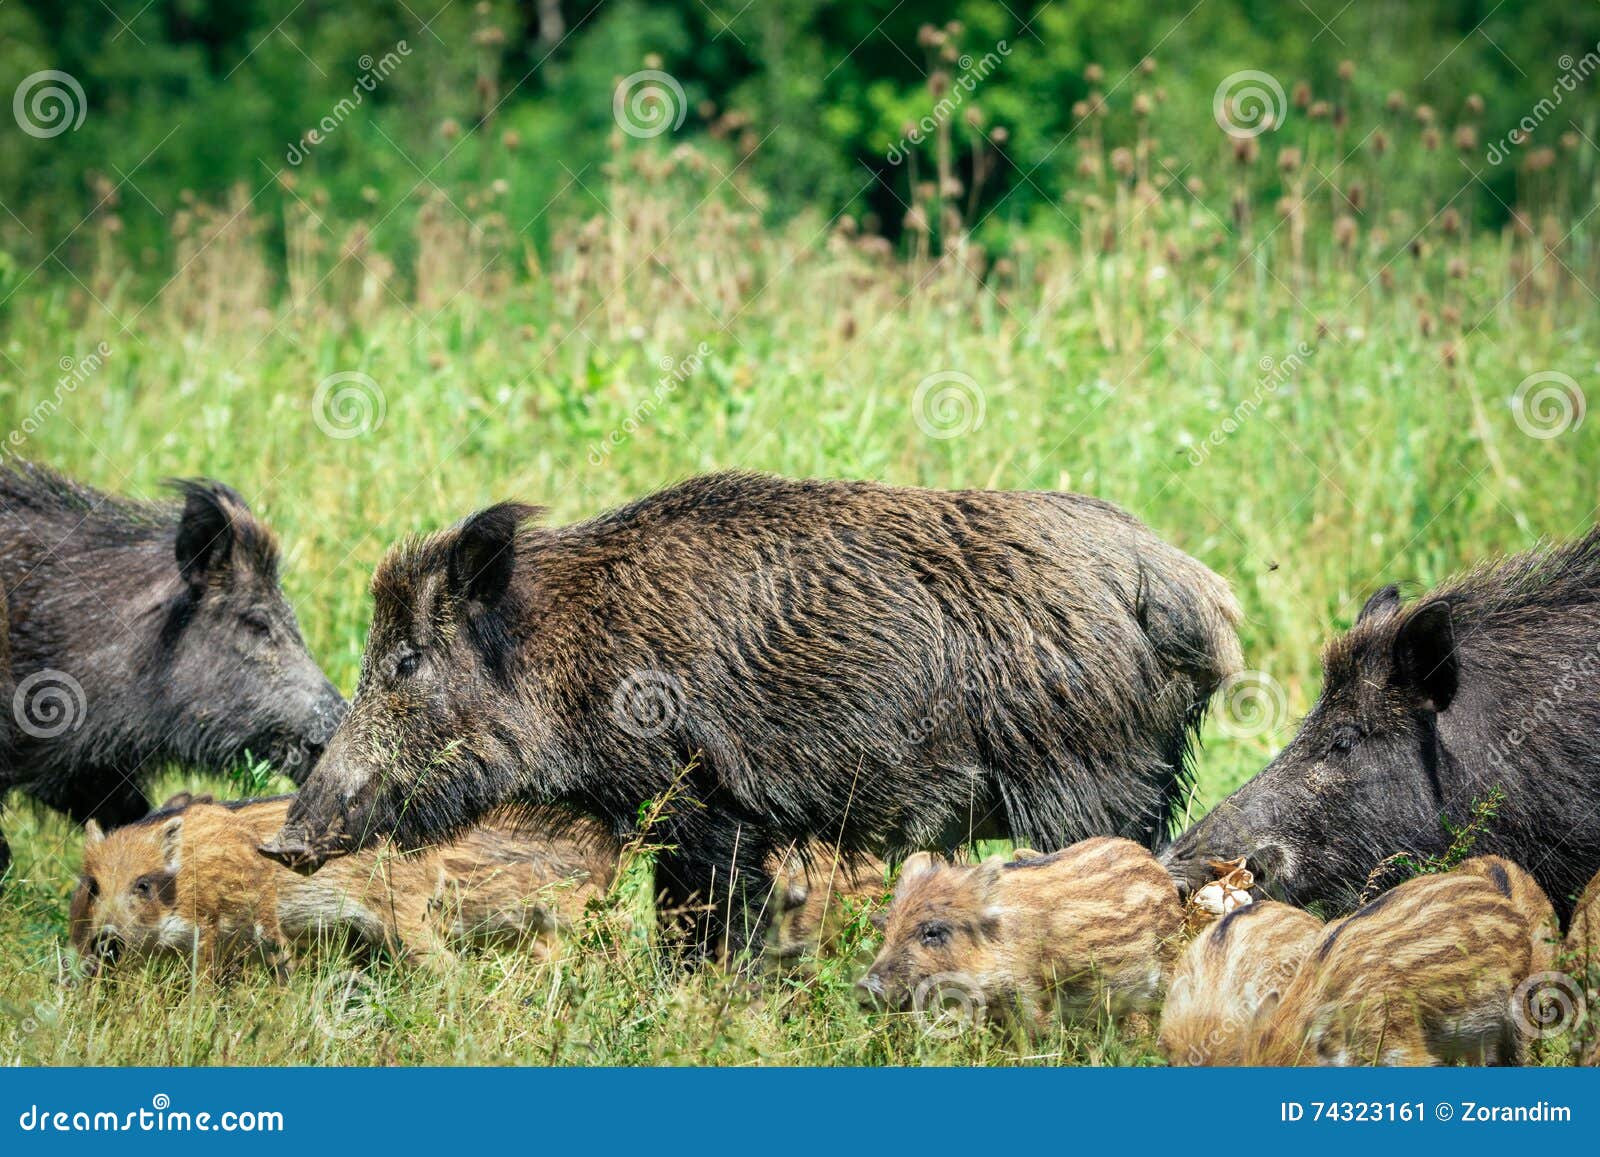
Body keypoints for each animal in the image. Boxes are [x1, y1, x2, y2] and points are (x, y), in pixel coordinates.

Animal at [265, 472, 1241, 958]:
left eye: (405, 660)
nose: (282, 841)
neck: (569, 656)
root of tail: (1189, 589)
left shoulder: (701, 804)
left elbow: (707, 928)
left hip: (1083, 780)